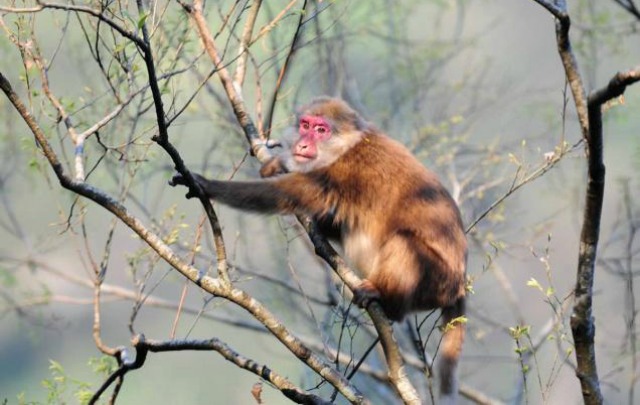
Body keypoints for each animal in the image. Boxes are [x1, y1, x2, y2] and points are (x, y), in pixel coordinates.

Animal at [170, 97, 467, 402]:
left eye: (321, 130)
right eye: (305, 125)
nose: (302, 144)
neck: (348, 145)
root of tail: (458, 287)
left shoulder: (345, 169)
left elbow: (291, 194)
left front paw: (205, 183)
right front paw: (277, 164)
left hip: (436, 280)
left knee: (404, 242)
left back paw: (384, 297)